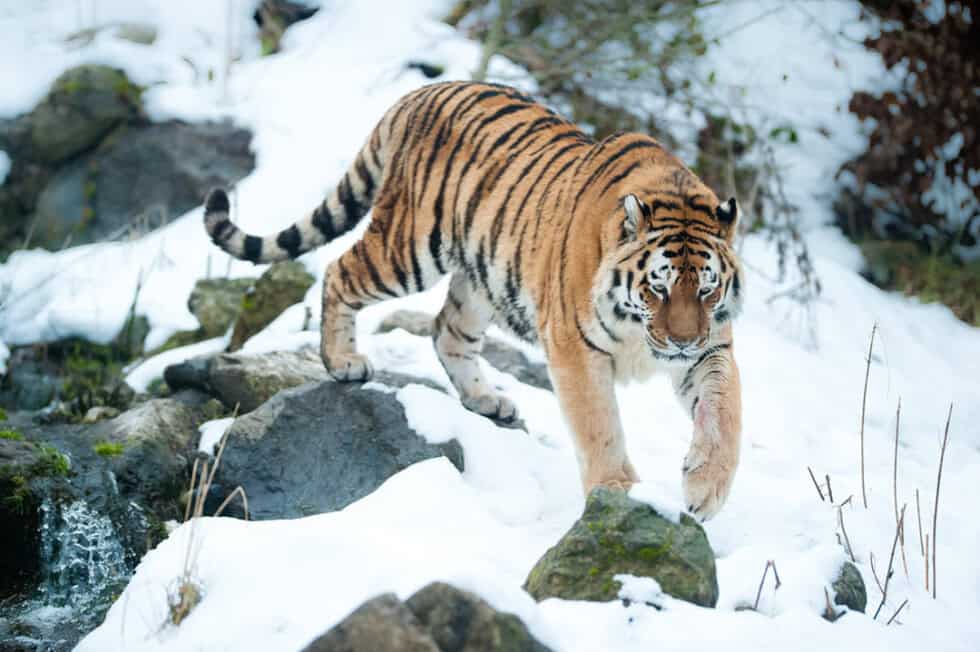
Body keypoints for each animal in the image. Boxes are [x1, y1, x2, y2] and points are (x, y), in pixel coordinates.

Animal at [204, 81, 744, 520]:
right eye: (658, 287)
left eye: (706, 288)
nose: (681, 342)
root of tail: (420, 93)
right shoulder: (575, 347)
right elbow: (599, 424)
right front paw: (615, 488)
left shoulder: (711, 347)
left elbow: (725, 413)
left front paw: (705, 491)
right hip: (408, 249)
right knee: (340, 271)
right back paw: (343, 361)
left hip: (484, 275)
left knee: (447, 331)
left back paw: (487, 400)